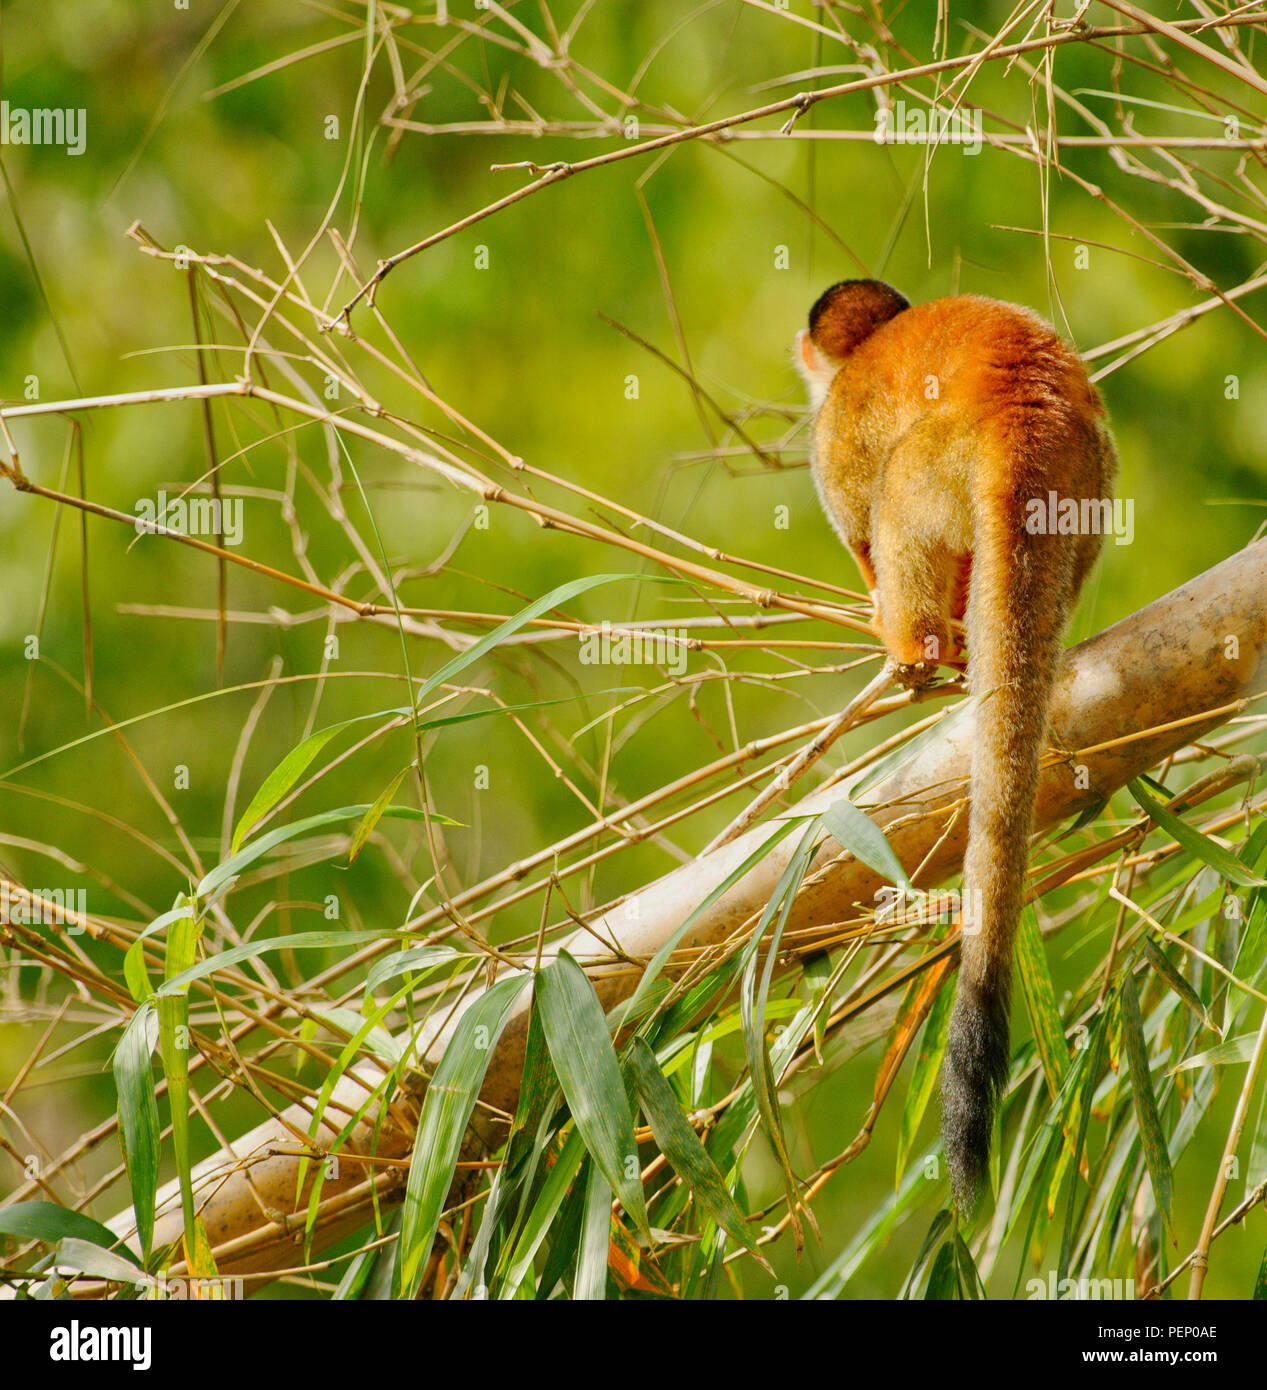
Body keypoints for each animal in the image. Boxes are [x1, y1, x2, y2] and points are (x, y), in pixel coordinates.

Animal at [794, 280, 1117, 1212]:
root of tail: (1024, 410)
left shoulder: (835, 424)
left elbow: (858, 522)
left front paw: (878, 599)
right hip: (1089, 475)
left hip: (940, 460)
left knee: (894, 496)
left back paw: (911, 646)